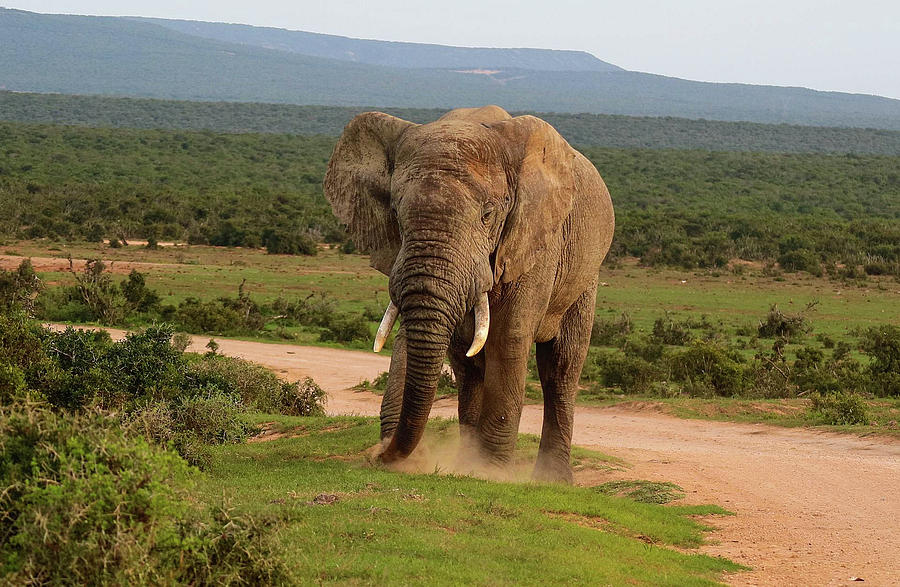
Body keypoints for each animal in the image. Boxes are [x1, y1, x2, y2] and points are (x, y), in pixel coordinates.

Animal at [324, 105, 614, 482]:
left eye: (488, 214)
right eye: (395, 214)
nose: (381, 455)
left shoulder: (533, 239)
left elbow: (510, 336)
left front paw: (491, 472)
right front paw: (473, 466)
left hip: (585, 274)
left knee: (561, 366)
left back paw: (552, 479)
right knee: (469, 367)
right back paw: (468, 458)